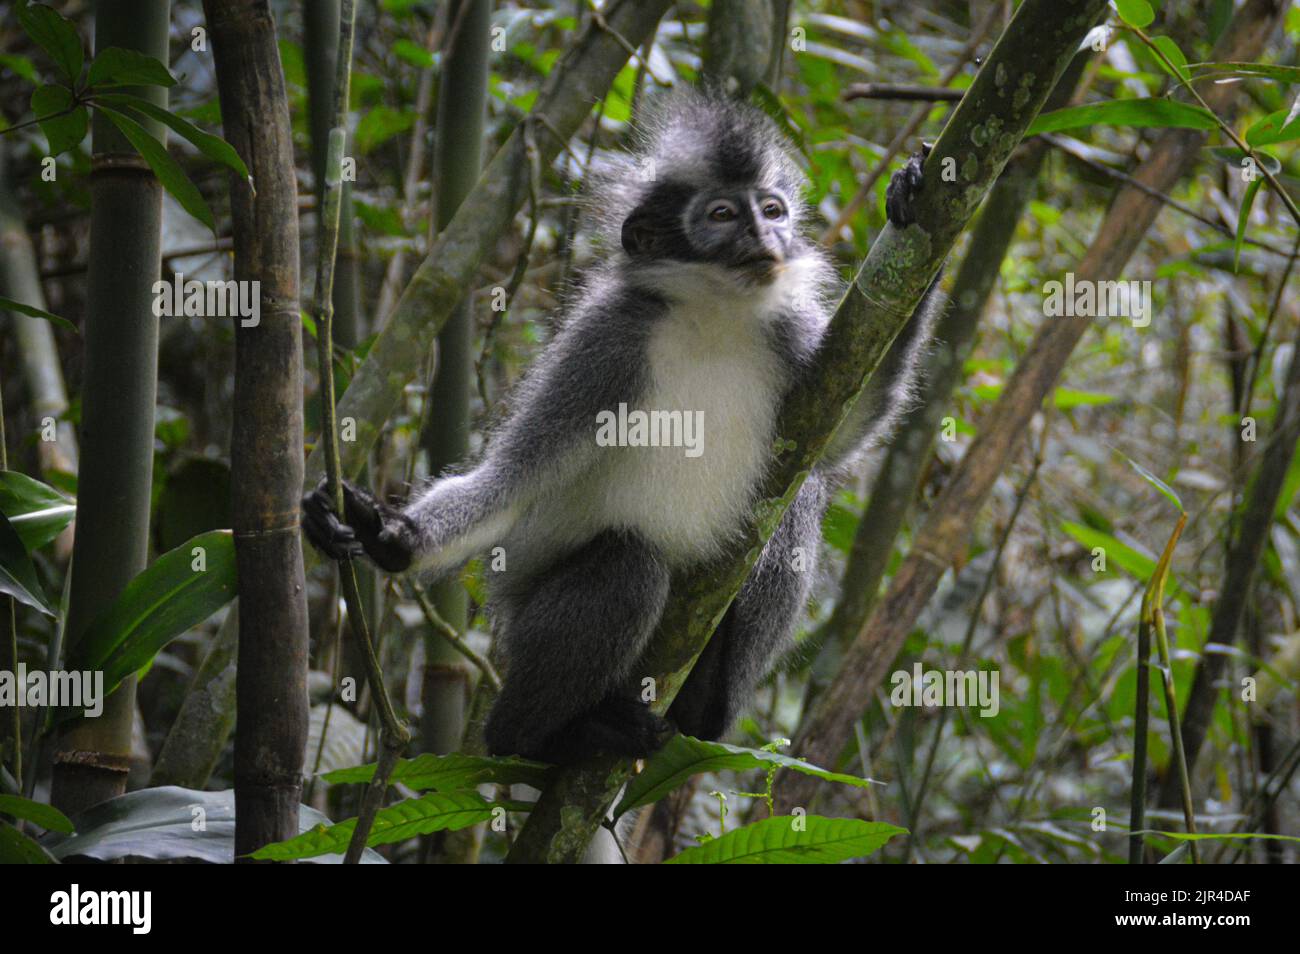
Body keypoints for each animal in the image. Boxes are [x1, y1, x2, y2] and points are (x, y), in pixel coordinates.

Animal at [302, 90, 943, 766]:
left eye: (773, 210)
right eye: (722, 214)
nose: (766, 234)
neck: (711, 318)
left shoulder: (787, 332)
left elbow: (842, 433)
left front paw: (911, 201)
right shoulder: (606, 342)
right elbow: (511, 482)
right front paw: (390, 536)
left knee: (798, 496)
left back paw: (704, 707)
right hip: (526, 626)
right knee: (628, 564)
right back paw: (540, 734)